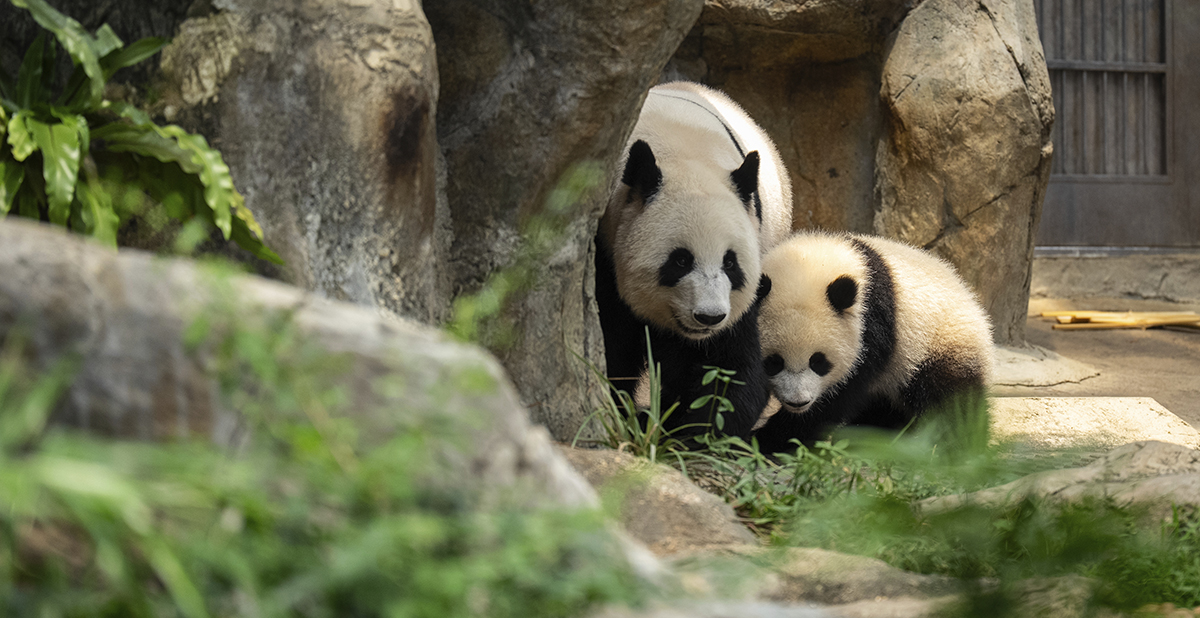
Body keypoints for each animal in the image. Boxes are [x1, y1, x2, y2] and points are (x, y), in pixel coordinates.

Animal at [595, 81, 793, 441]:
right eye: (680, 261)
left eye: (730, 263)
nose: (709, 317)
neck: (686, 156)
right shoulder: (606, 242)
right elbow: (612, 344)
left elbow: (731, 365)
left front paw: (689, 432)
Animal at [752, 232, 994, 454]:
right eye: (773, 362)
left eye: (818, 362)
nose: (798, 402)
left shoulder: (870, 324)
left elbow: (840, 394)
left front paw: (770, 438)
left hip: (938, 344)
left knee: (953, 400)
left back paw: (963, 444)